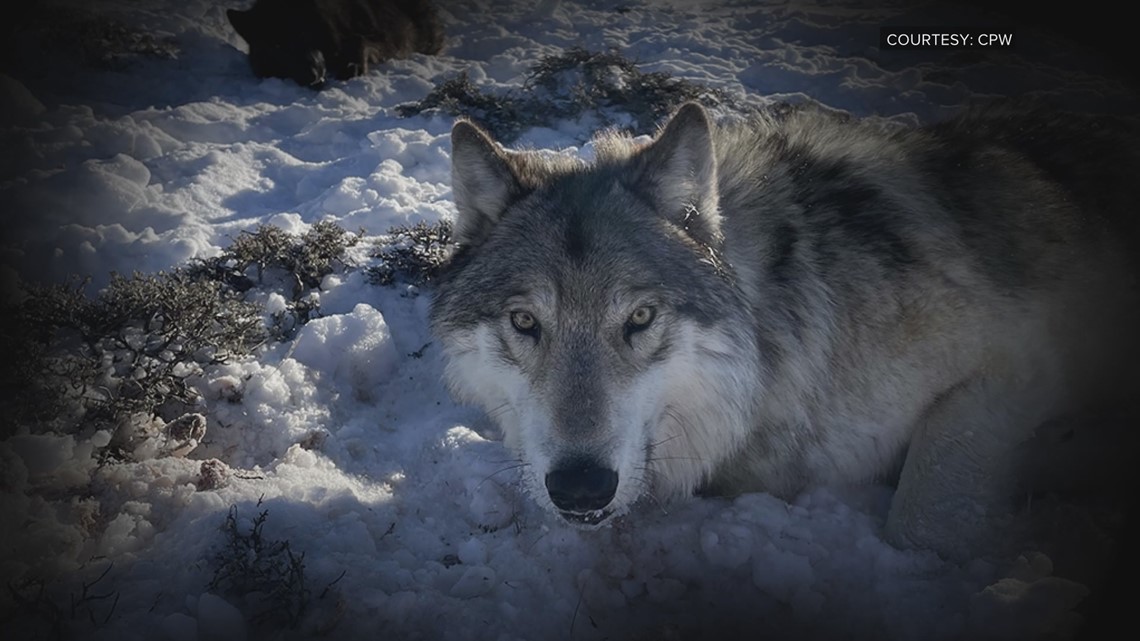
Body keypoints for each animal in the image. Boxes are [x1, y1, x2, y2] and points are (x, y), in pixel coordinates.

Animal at [227, 0, 443, 88]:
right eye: (276, 49)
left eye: (299, 34)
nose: (310, 76)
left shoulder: (382, 38)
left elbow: (358, 40)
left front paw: (353, 67)